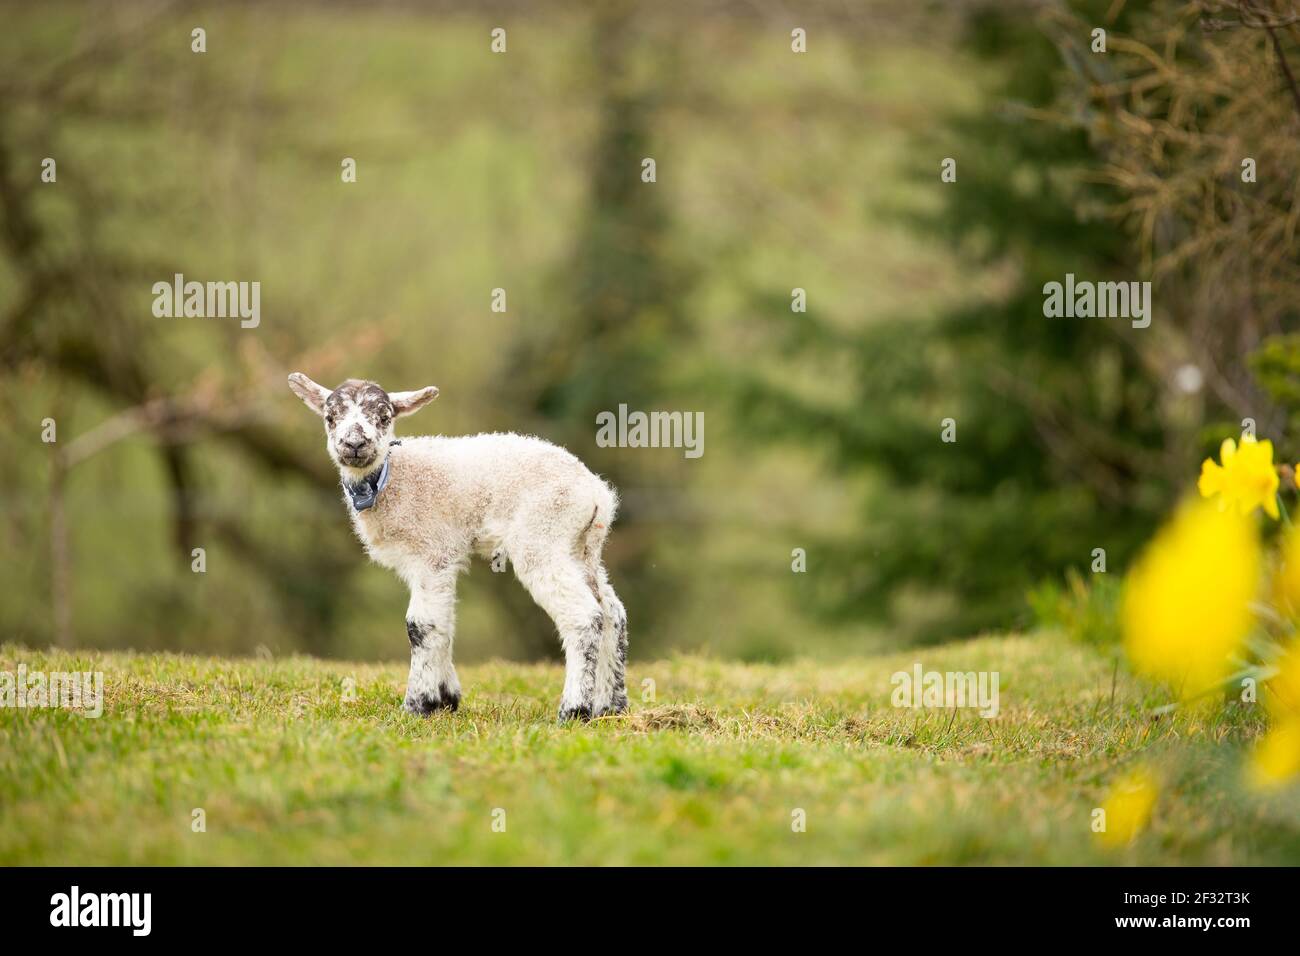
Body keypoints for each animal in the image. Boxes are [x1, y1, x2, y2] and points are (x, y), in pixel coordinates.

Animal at [287, 373, 628, 721]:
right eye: (330, 417)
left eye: (384, 417)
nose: (354, 444)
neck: (392, 479)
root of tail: (596, 494)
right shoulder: (444, 557)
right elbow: (445, 623)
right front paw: (446, 698)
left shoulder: (431, 552)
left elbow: (420, 625)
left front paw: (418, 706)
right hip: (580, 547)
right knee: (612, 612)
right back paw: (610, 706)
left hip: (543, 536)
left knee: (584, 615)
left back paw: (574, 710)